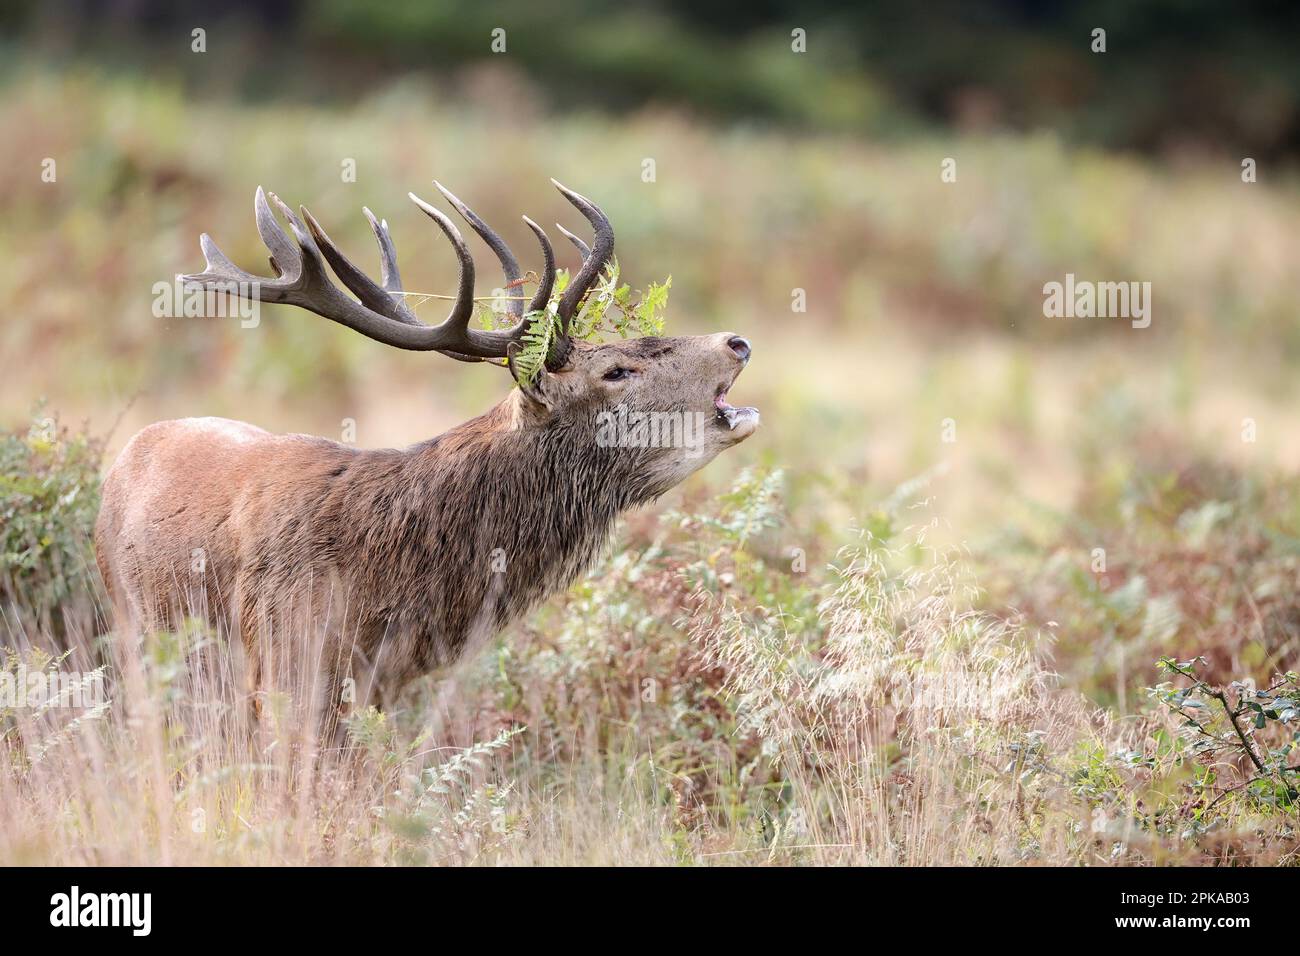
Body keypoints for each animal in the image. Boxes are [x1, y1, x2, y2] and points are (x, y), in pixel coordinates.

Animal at [94, 180, 758, 730]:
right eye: (616, 371)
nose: (736, 341)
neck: (388, 578)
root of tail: (126, 454)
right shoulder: (284, 654)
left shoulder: (382, 682)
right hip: (129, 623)